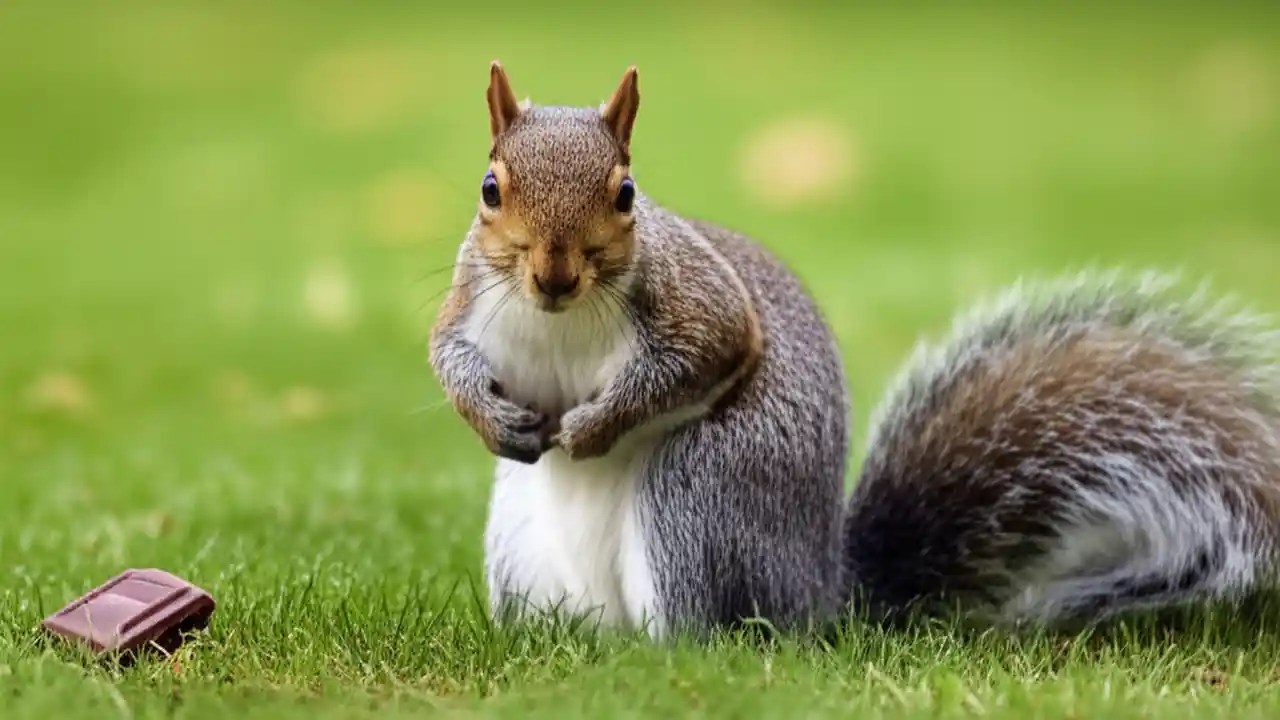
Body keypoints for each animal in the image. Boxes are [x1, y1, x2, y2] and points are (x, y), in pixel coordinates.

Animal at [430, 62, 1280, 638]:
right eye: (489, 189)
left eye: (627, 194)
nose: (554, 273)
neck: (562, 316)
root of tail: (824, 593)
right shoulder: (467, 307)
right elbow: (448, 360)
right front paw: (489, 418)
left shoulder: (703, 304)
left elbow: (700, 356)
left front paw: (593, 427)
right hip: (522, 541)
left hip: (700, 495)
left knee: (716, 635)